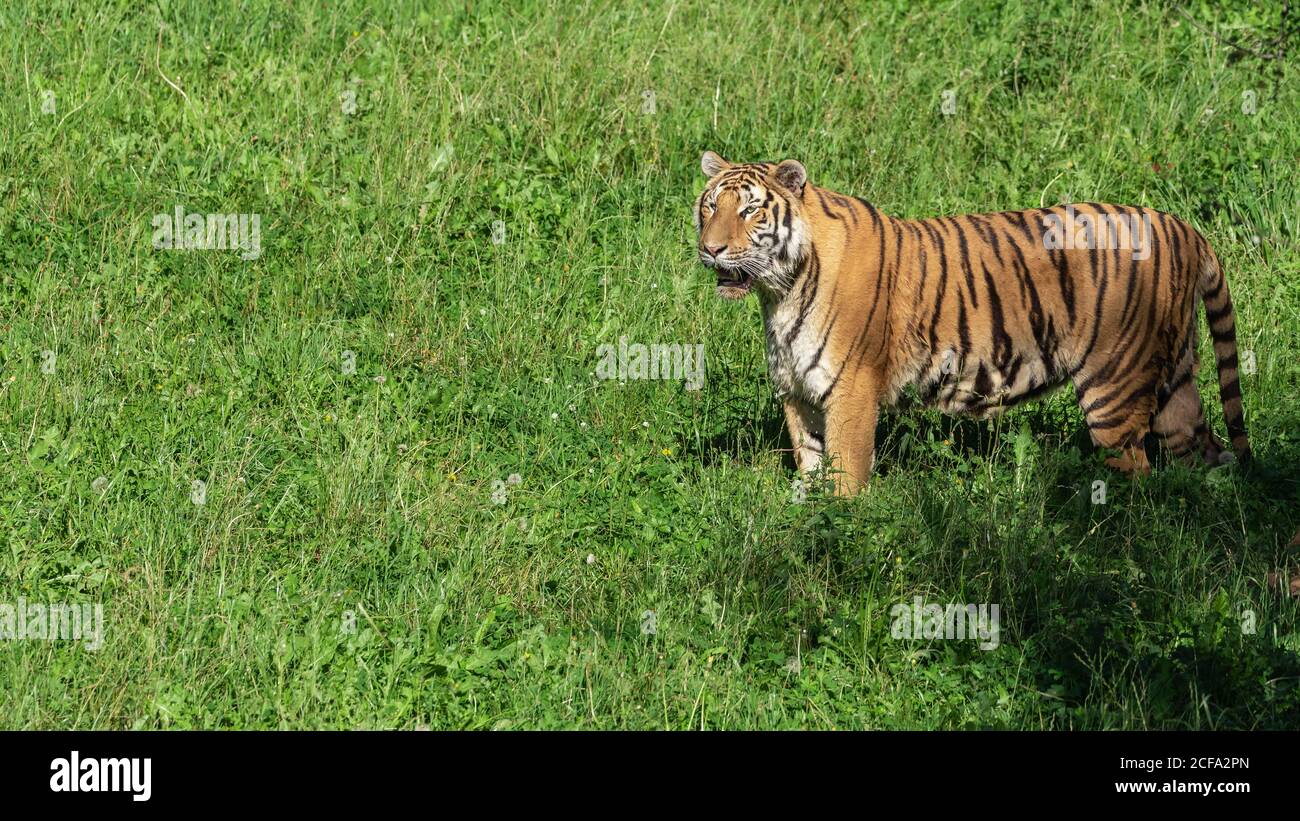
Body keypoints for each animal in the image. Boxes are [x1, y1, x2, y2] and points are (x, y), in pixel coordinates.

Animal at [693, 150, 1250, 496]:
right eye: (710, 207)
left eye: (750, 211)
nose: (711, 249)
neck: (780, 292)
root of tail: (1183, 228)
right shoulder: (798, 392)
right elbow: (810, 466)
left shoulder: (851, 392)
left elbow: (845, 474)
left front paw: (841, 532)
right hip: (1175, 381)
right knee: (1199, 457)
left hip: (1114, 388)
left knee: (1138, 472)